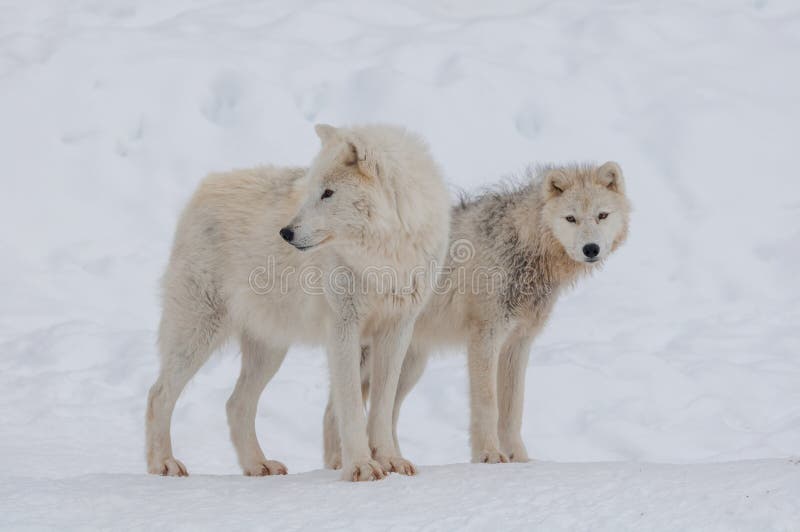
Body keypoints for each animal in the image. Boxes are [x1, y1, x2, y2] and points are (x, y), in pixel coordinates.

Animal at [146, 124, 450, 481]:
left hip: (270, 349)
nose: (286, 233)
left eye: (328, 193)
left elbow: (382, 408)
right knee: (158, 394)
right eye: (310, 190)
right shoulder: (343, 328)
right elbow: (350, 407)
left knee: (236, 404)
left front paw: (390, 461)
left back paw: (258, 464)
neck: (383, 258)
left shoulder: (397, 330)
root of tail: (205, 185)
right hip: (197, 334)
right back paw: (163, 464)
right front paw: (361, 466)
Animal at [324, 162, 630, 467]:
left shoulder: (518, 344)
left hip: (407, 366)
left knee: (385, 414)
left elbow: (513, 410)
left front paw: (520, 460)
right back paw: (343, 465)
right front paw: (489, 456)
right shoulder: (485, 337)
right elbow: (487, 404)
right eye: (571, 218)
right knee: (333, 411)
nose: (591, 249)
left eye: (602, 215)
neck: (521, 244)